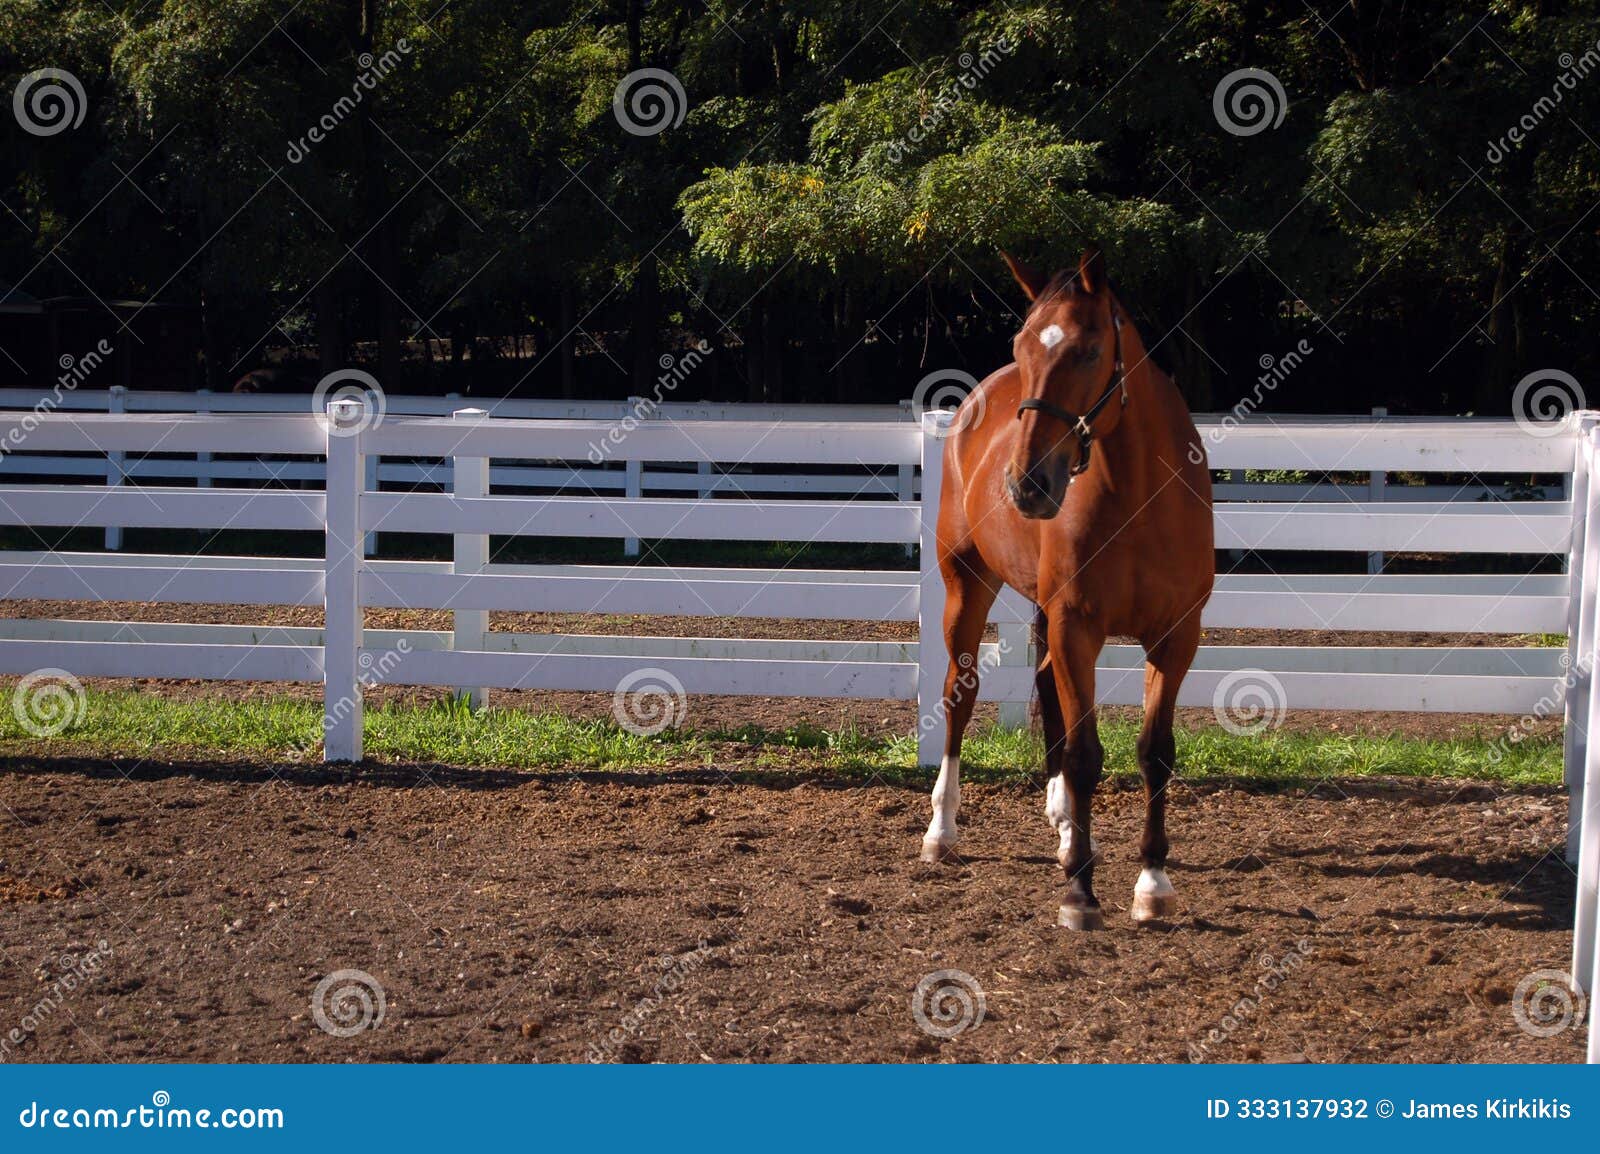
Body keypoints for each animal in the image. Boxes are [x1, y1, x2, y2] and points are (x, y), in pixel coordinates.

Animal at [919, 246, 1214, 930]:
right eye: (1022, 344)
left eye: (1087, 350)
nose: (1027, 484)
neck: (1140, 504)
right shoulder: (1076, 625)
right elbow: (1084, 754)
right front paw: (1080, 893)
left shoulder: (1176, 637)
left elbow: (1155, 751)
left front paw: (1152, 881)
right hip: (966, 585)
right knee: (958, 693)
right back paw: (942, 831)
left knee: (1046, 687)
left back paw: (1064, 827)